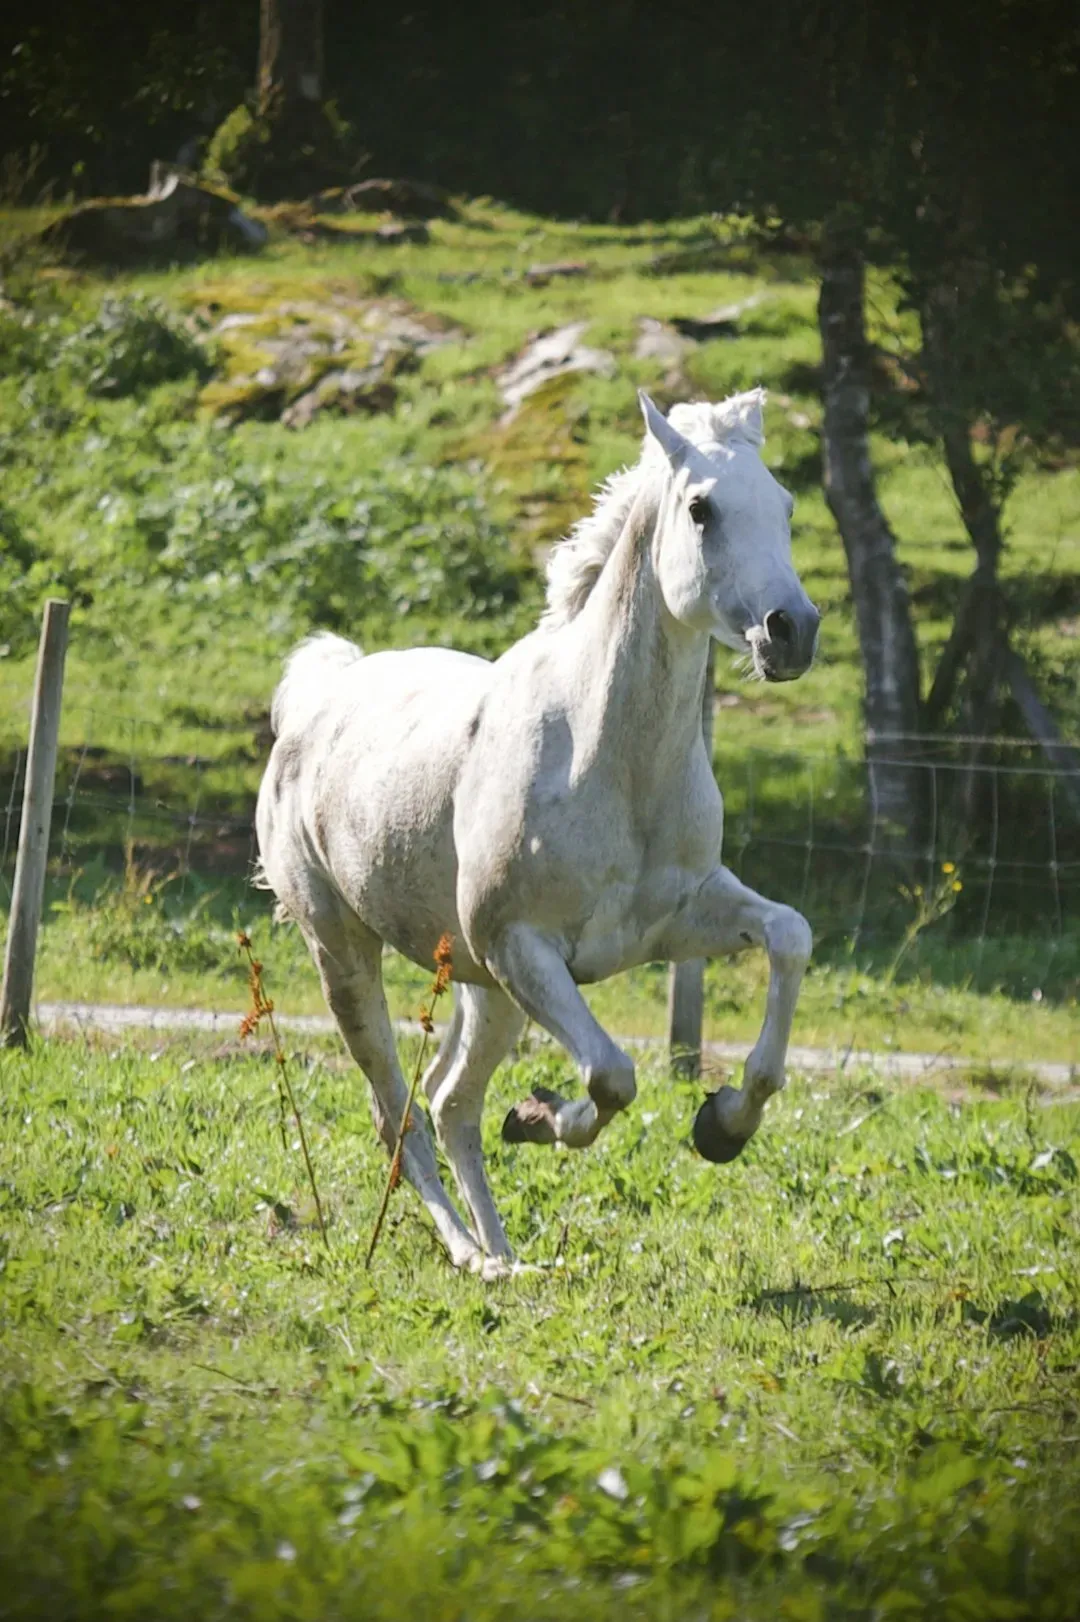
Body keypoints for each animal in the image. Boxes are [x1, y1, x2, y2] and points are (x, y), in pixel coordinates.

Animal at [256, 390, 820, 1277]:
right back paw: (469, 1252)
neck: (610, 759)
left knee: (449, 1102)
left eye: (787, 506)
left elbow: (789, 937)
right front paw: (542, 1116)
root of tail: (319, 695)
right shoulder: (524, 948)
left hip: (483, 990)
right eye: (702, 509)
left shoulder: (679, 920)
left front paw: (723, 1123)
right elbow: (612, 1077)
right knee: (398, 1114)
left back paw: (506, 1256)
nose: (790, 629)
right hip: (346, 954)